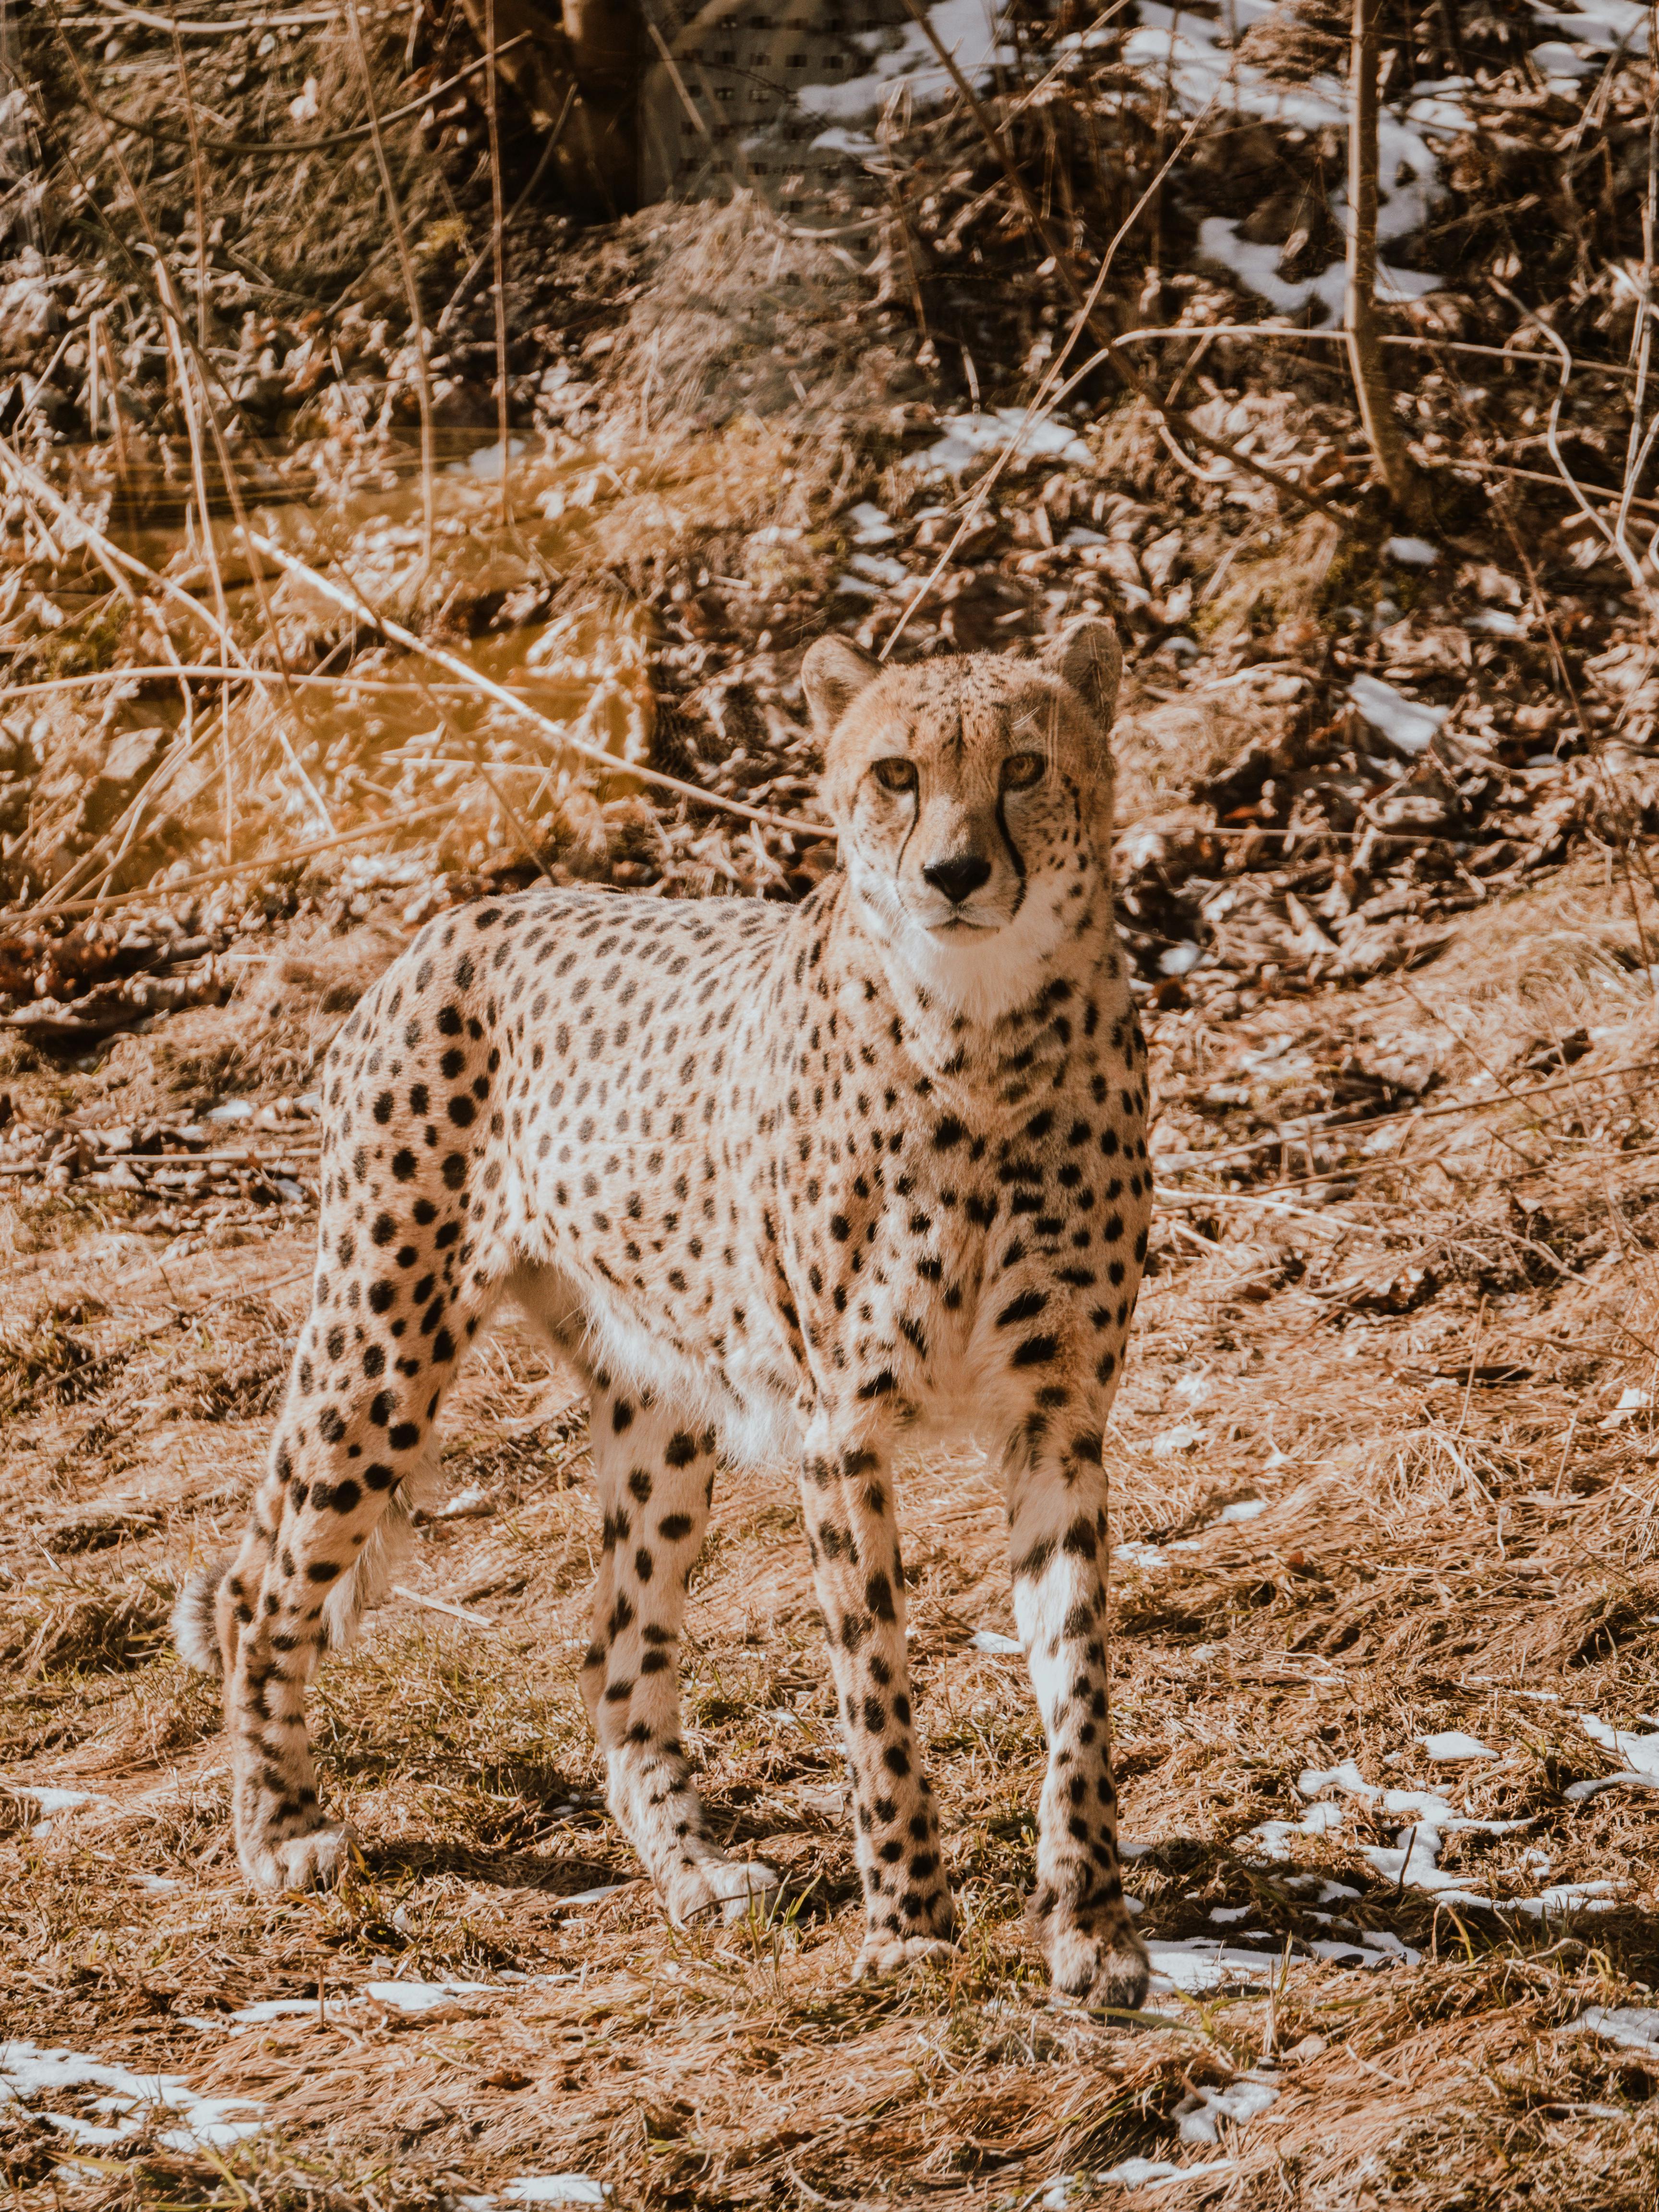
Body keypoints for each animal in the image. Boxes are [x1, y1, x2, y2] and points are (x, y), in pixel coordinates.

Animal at [174, 615, 1156, 2008]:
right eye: (897, 773)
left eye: (1022, 767)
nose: (956, 873)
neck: (979, 1037)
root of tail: (457, 918)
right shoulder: (842, 1430)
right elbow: (876, 1691)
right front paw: (910, 1926)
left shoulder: (1058, 1421)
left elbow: (1076, 1694)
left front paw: (1089, 1927)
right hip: (382, 1339)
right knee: (266, 1589)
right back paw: (283, 1830)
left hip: (661, 1399)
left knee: (617, 1653)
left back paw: (691, 1868)